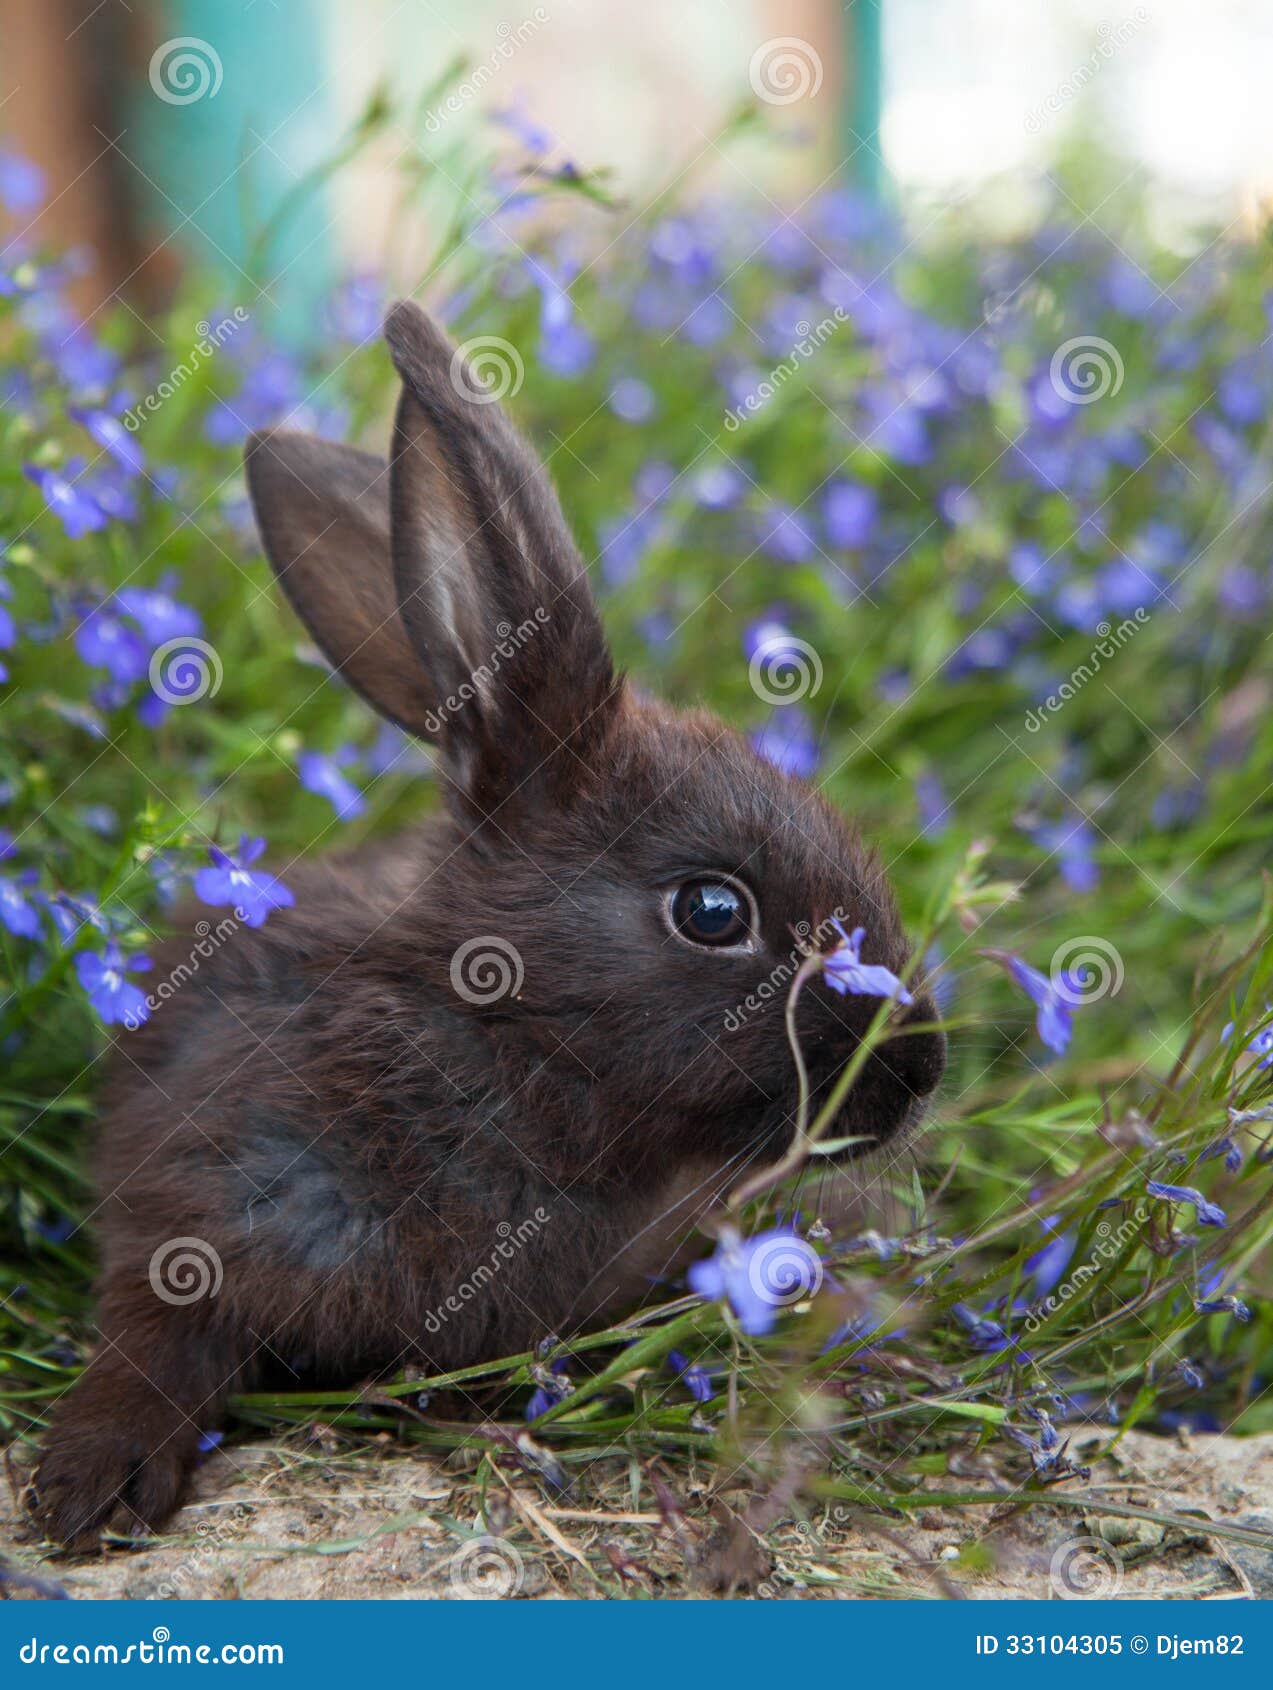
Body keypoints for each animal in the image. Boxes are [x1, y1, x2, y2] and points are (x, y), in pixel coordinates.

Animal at [31, 301, 945, 1549]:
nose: (919, 1070)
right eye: (712, 910)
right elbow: (154, 1332)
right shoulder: (203, 1198)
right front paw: (92, 1482)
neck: (510, 1053)